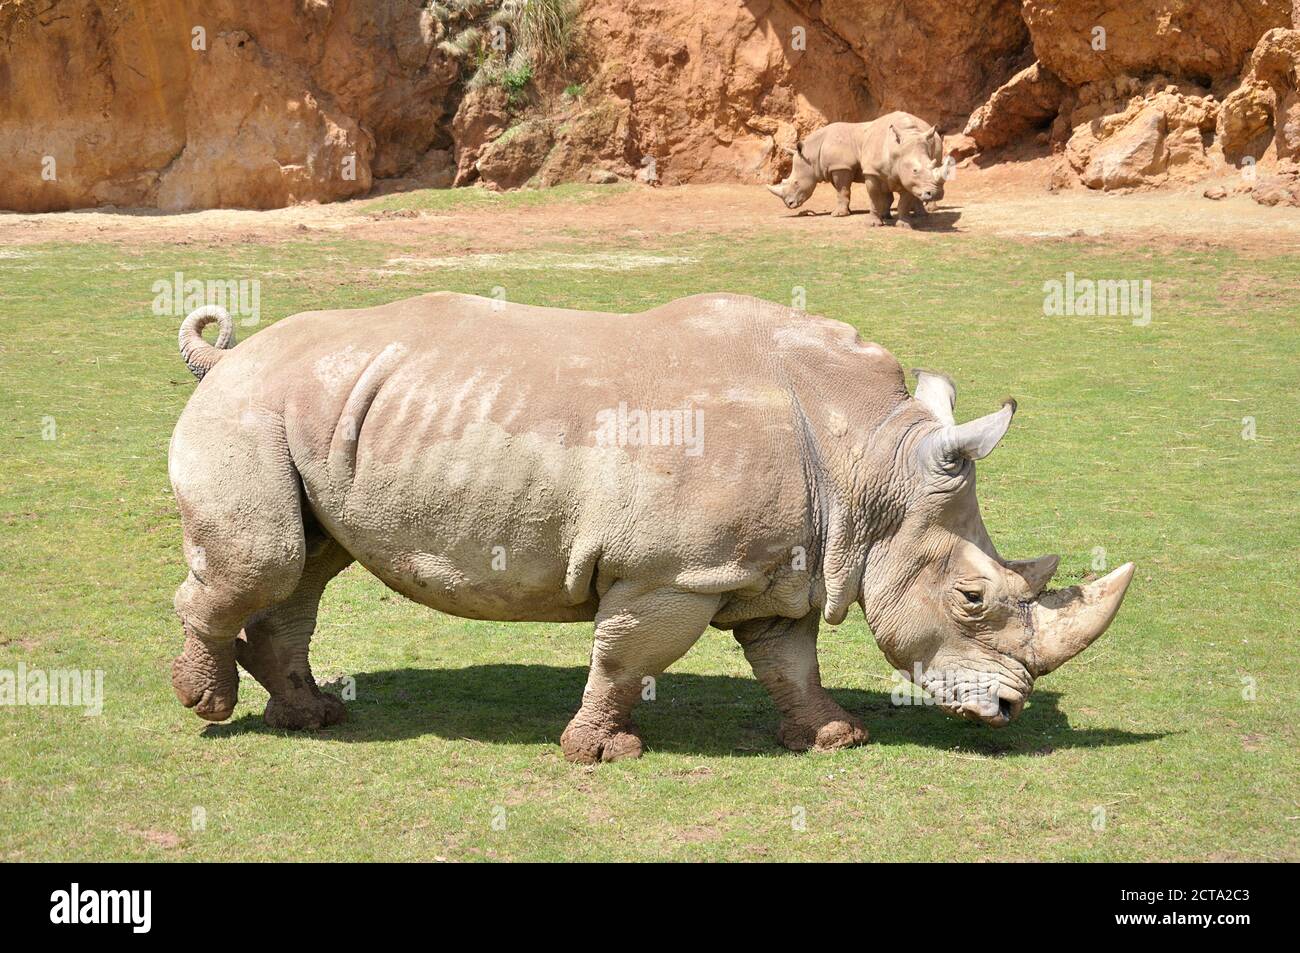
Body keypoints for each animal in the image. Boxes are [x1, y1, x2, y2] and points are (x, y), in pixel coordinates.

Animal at [169, 293, 1135, 763]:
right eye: (972, 597)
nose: (1009, 709)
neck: (872, 464)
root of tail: (228, 354)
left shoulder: (781, 560)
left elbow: (788, 660)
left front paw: (833, 737)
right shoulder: (672, 572)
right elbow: (626, 658)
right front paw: (603, 752)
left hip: (320, 410)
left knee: (307, 568)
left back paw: (312, 717)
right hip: (252, 408)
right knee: (265, 561)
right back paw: (207, 703)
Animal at [767, 111, 948, 227]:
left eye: (796, 183)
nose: (789, 204)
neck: (812, 154)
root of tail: (925, 123)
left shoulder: (841, 167)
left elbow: (843, 190)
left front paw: (838, 215)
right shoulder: (837, 168)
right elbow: (842, 191)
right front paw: (847, 211)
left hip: (935, 140)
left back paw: (927, 211)